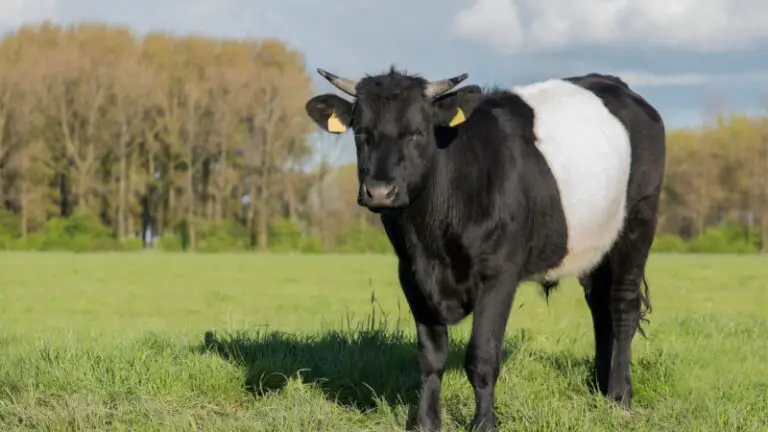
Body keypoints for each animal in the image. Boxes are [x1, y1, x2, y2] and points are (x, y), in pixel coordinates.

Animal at [304, 66, 665, 431]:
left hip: (639, 221)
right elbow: (431, 358)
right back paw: (598, 383)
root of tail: (615, 84)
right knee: (599, 307)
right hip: (594, 246)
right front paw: (425, 422)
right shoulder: (411, 274)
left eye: (417, 132)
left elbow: (482, 355)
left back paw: (619, 396)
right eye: (360, 132)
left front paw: (483, 423)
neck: (432, 239)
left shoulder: (499, 274)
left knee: (622, 307)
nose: (379, 191)